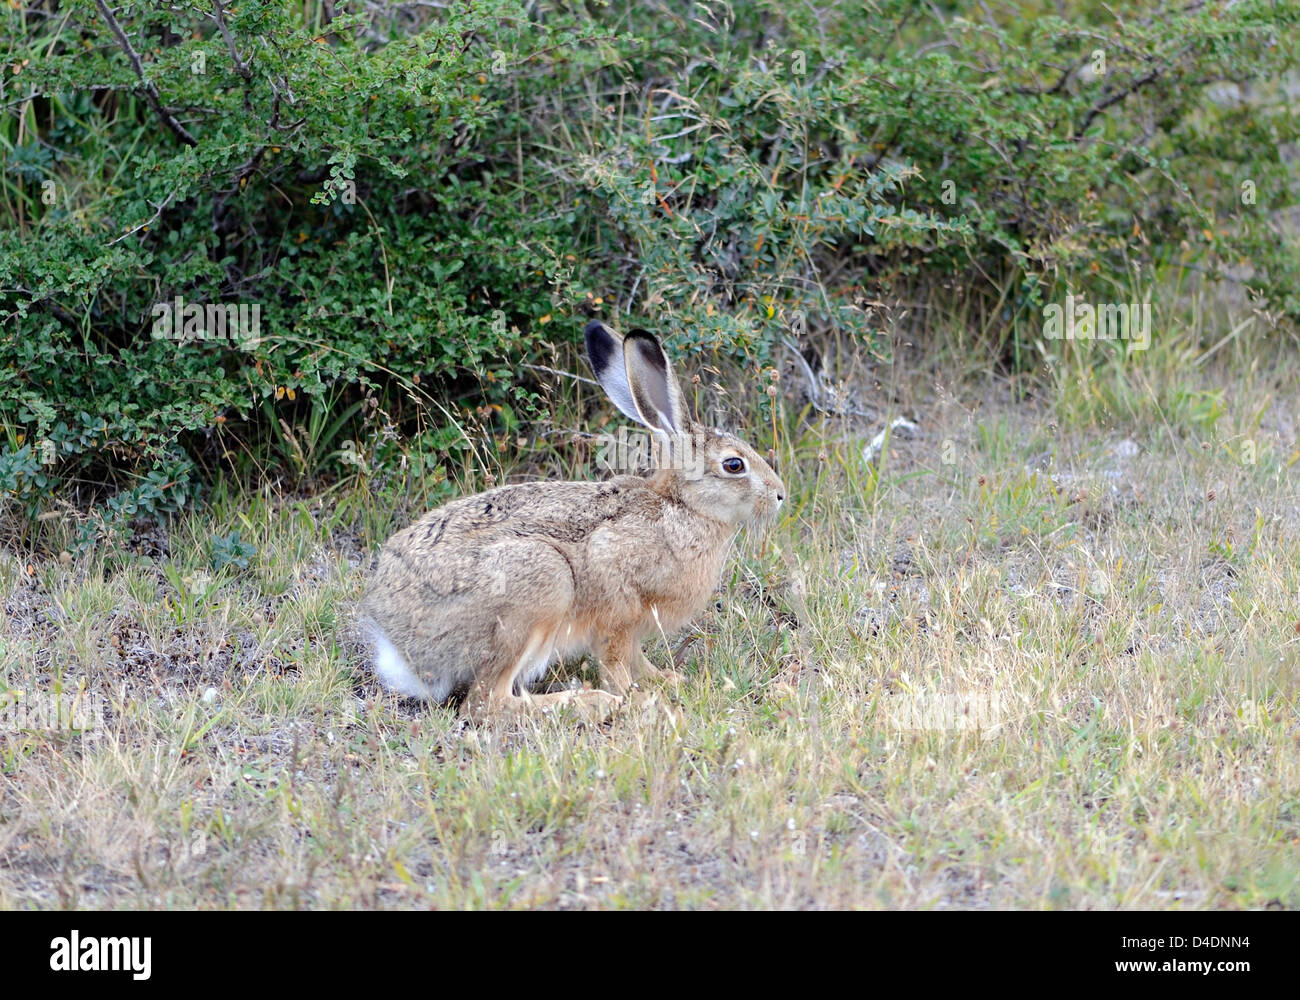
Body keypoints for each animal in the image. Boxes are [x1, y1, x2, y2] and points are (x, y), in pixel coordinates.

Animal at [357, 319, 785, 722]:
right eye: (734, 465)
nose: (780, 495)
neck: (680, 508)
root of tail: (399, 645)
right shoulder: (618, 607)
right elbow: (616, 661)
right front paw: (638, 698)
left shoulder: (633, 629)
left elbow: (638, 658)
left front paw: (668, 680)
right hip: (540, 583)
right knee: (485, 703)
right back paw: (589, 702)